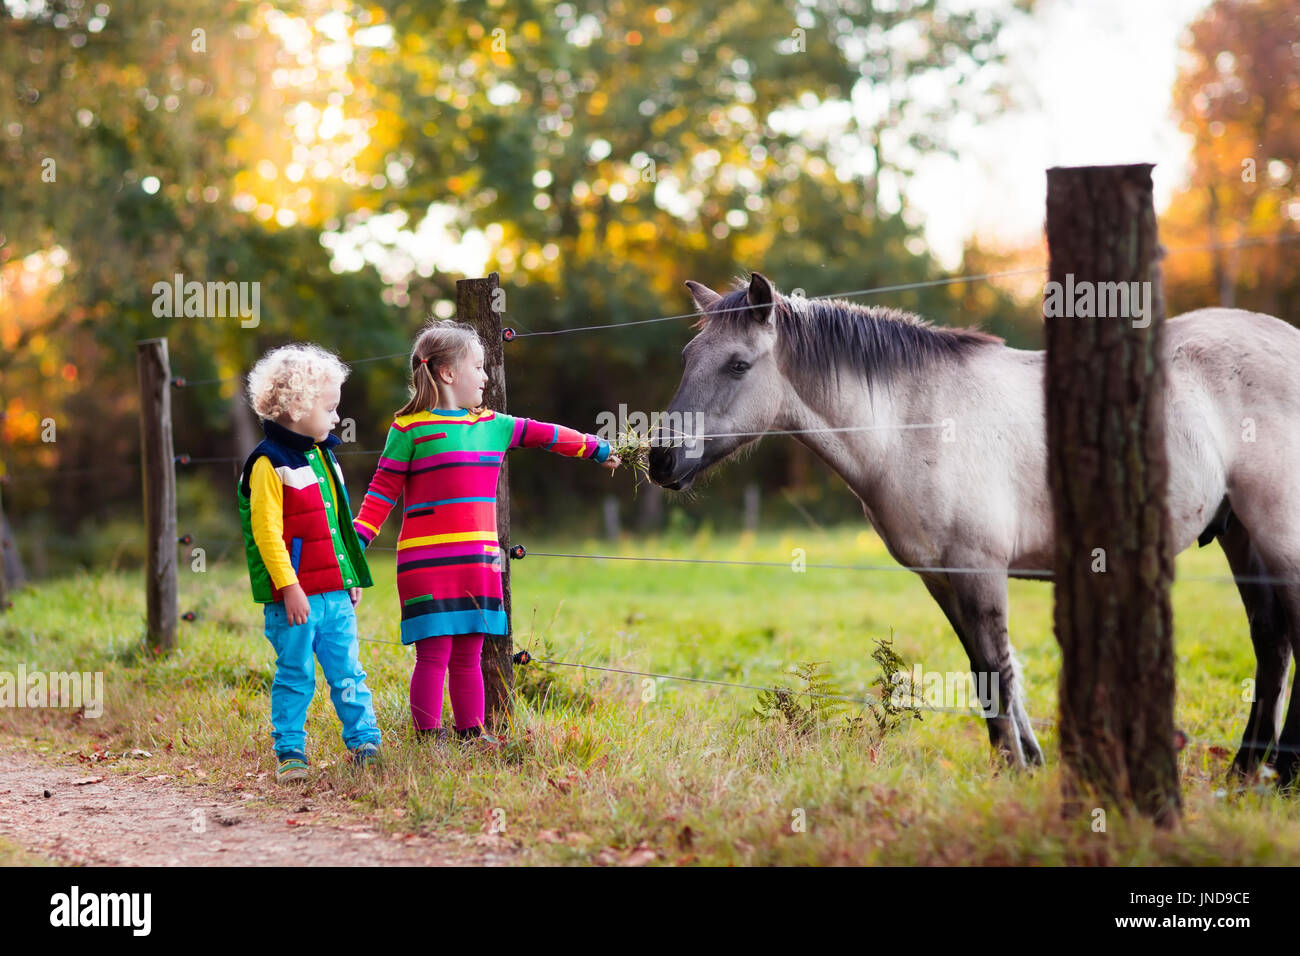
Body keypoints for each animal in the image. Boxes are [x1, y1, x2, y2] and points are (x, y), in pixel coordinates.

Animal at [648, 271, 1300, 788]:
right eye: (685, 359)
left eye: (738, 365)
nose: (661, 460)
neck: (914, 421)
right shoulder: (942, 576)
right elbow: (989, 674)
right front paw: (1027, 765)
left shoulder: (979, 569)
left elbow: (996, 666)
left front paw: (1014, 769)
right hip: (1241, 535)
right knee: (1272, 643)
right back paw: (1245, 770)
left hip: (1277, 535)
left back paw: (1283, 773)